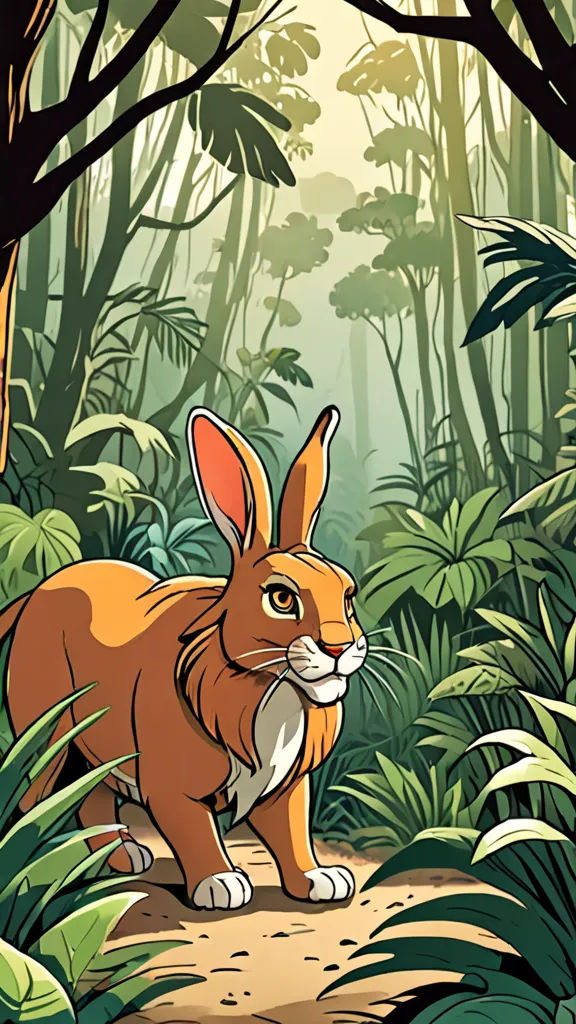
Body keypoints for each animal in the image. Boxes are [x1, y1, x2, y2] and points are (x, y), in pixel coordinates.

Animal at [3, 405, 367, 909]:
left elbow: (292, 831)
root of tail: (38, 591)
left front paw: (319, 880)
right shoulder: (171, 784)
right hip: (50, 734)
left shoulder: (284, 784)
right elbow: (195, 830)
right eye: (280, 598)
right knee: (35, 799)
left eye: (348, 595)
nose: (339, 647)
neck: (273, 689)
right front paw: (221, 884)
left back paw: (121, 858)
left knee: (92, 798)